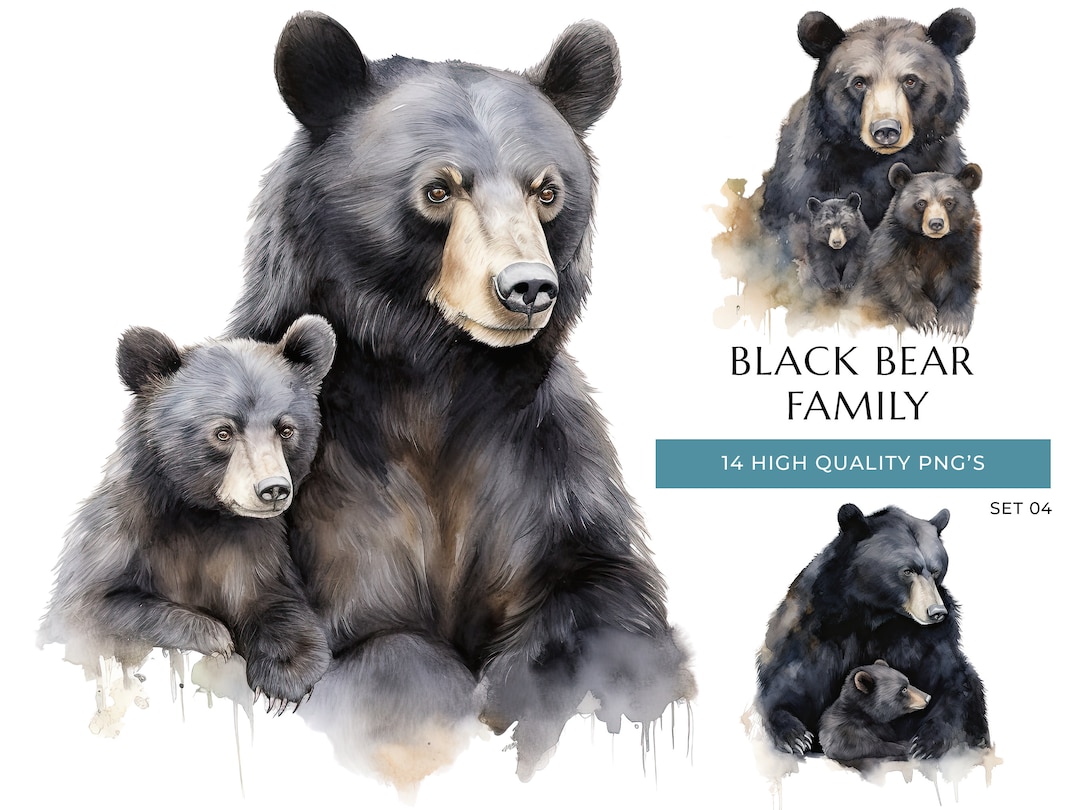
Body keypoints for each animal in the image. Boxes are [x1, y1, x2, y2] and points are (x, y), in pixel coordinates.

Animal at [39, 315, 337, 709]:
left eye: (286, 429)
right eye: (223, 432)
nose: (273, 489)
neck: (200, 514)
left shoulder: (252, 550)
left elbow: (274, 600)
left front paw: (287, 674)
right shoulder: (115, 536)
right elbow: (87, 611)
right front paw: (214, 635)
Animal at [227, 12, 694, 784]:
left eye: (546, 190)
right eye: (439, 190)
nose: (528, 286)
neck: (435, 382)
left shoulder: (540, 464)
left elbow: (601, 601)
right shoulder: (318, 484)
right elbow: (369, 640)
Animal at [755, 504, 989, 761]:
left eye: (936, 571)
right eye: (907, 571)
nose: (936, 612)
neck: (873, 614)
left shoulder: (929, 641)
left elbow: (953, 682)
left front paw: (927, 742)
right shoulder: (813, 631)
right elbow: (790, 684)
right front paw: (795, 736)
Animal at [759, 10, 976, 235]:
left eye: (910, 80)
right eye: (859, 83)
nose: (886, 130)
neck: (878, 162)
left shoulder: (939, 160)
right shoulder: (812, 176)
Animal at [859, 162, 982, 337]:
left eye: (949, 202)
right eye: (921, 203)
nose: (936, 223)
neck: (931, 243)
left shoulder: (963, 248)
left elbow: (962, 279)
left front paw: (953, 325)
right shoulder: (894, 245)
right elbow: (897, 278)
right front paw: (927, 319)